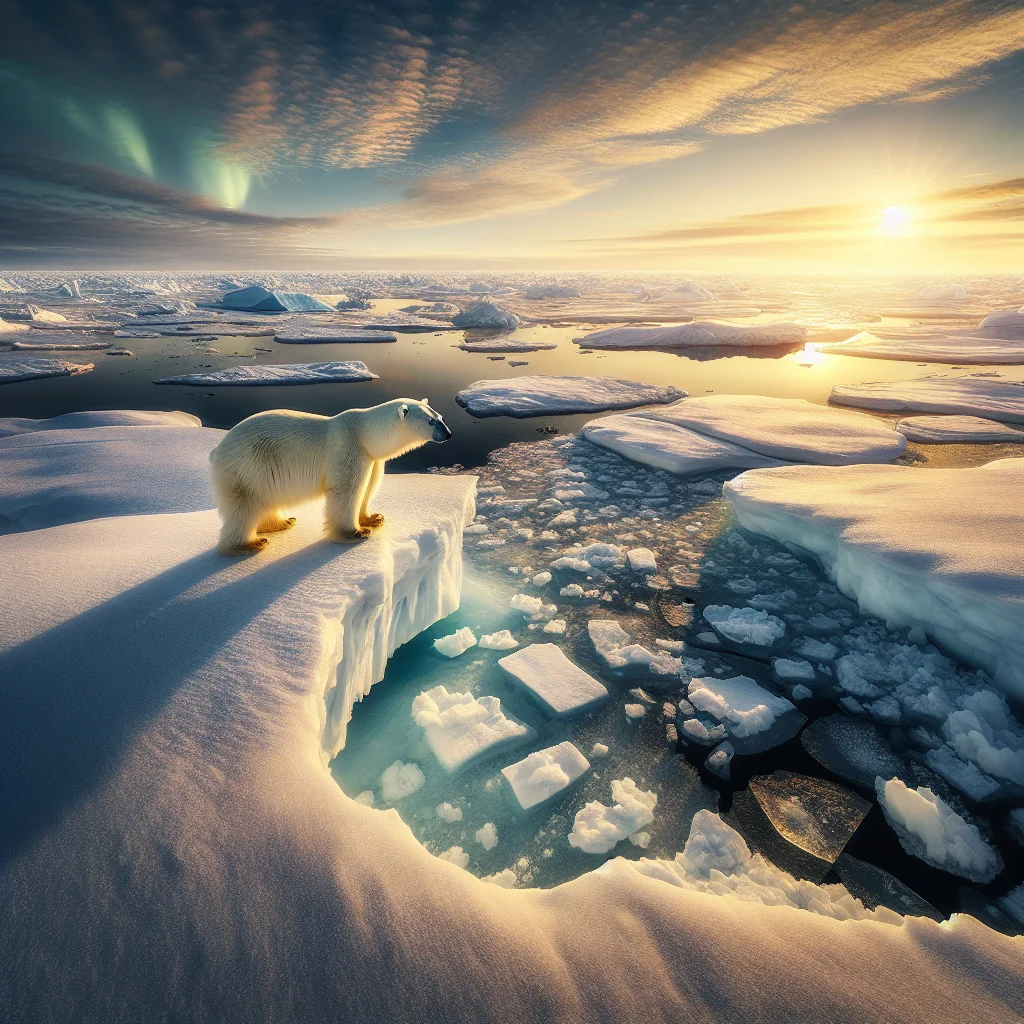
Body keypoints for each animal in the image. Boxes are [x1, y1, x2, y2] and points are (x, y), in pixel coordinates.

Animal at [209, 398, 451, 554]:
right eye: (431, 421)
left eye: (440, 416)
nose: (448, 433)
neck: (365, 434)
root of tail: (216, 450)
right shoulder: (349, 449)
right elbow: (347, 490)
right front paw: (356, 532)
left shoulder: (371, 459)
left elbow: (369, 487)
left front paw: (373, 518)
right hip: (246, 466)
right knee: (245, 505)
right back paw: (249, 544)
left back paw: (284, 522)